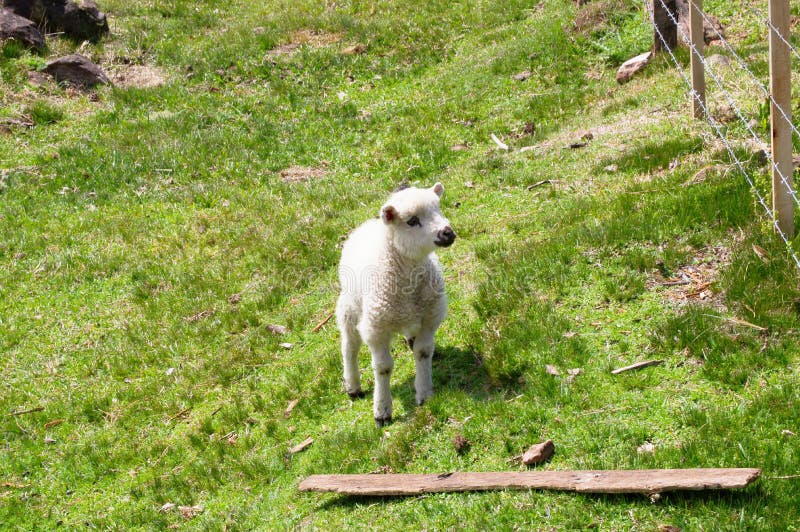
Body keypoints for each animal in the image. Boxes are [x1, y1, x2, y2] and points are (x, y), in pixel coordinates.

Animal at [336, 182, 456, 426]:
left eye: (438, 209)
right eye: (412, 221)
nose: (447, 232)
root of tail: (368, 224)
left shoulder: (430, 316)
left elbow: (423, 352)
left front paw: (424, 393)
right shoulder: (376, 328)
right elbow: (383, 368)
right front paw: (382, 410)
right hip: (349, 307)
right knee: (349, 346)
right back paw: (353, 386)